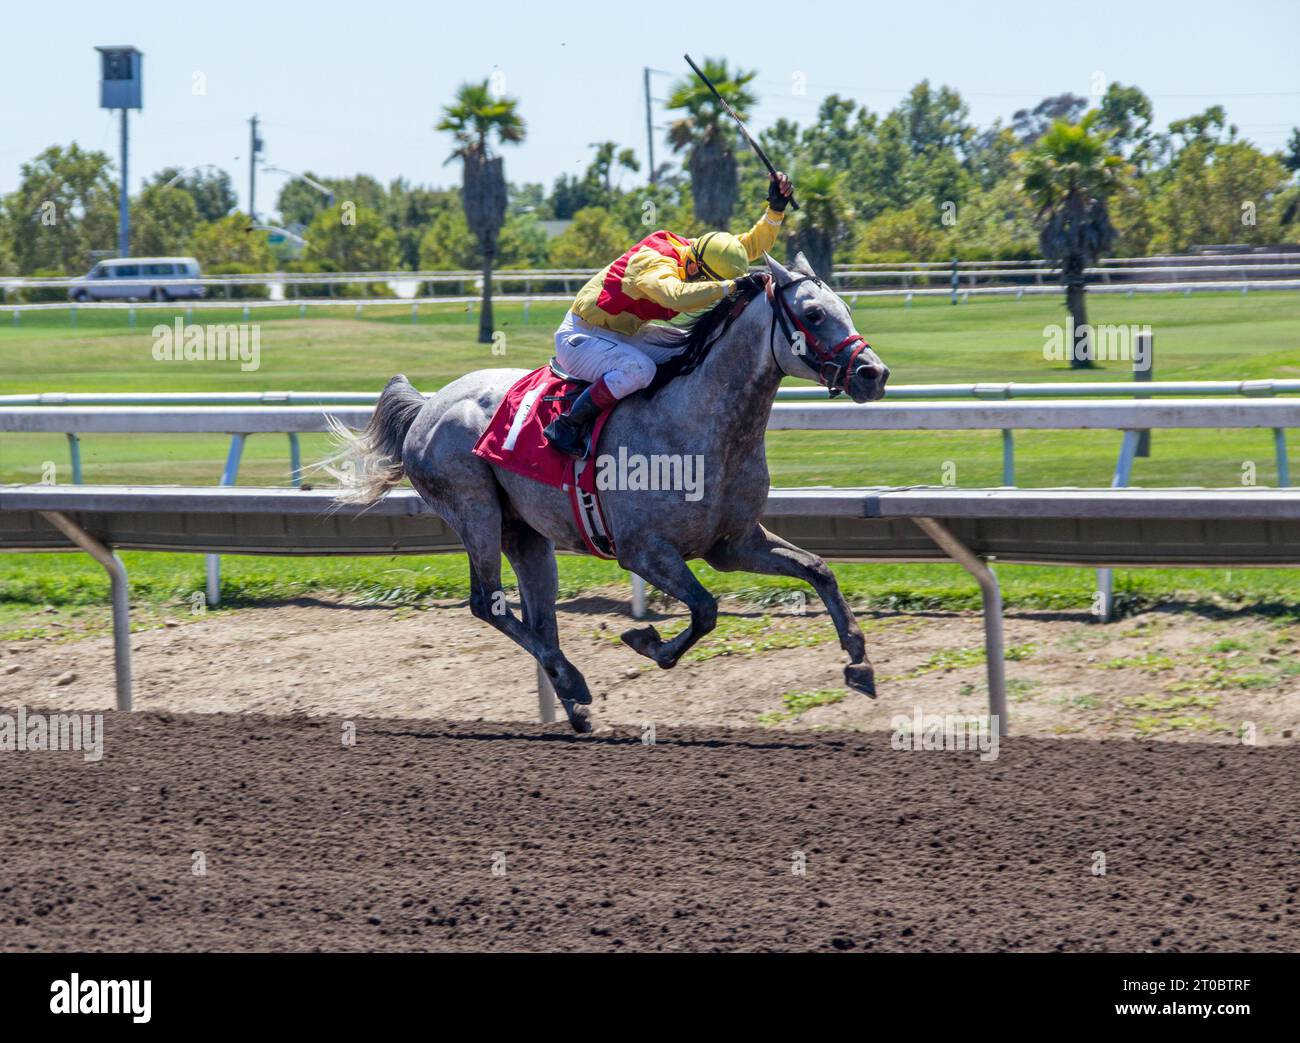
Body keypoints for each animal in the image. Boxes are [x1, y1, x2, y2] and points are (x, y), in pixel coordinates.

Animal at [326, 251, 890, 732]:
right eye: (814, 313)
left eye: (846, 309)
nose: (874, 373)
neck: (702, 425)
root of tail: (427, 404)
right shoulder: (644, 550)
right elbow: (705, 609)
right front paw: (646, 640)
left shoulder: (734, 544)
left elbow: (817, 568)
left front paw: (859, 662)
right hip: (474, 510)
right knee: (488, 604)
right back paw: (574, 683)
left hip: (525, 533)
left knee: (539, 615)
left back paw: (573, 702)